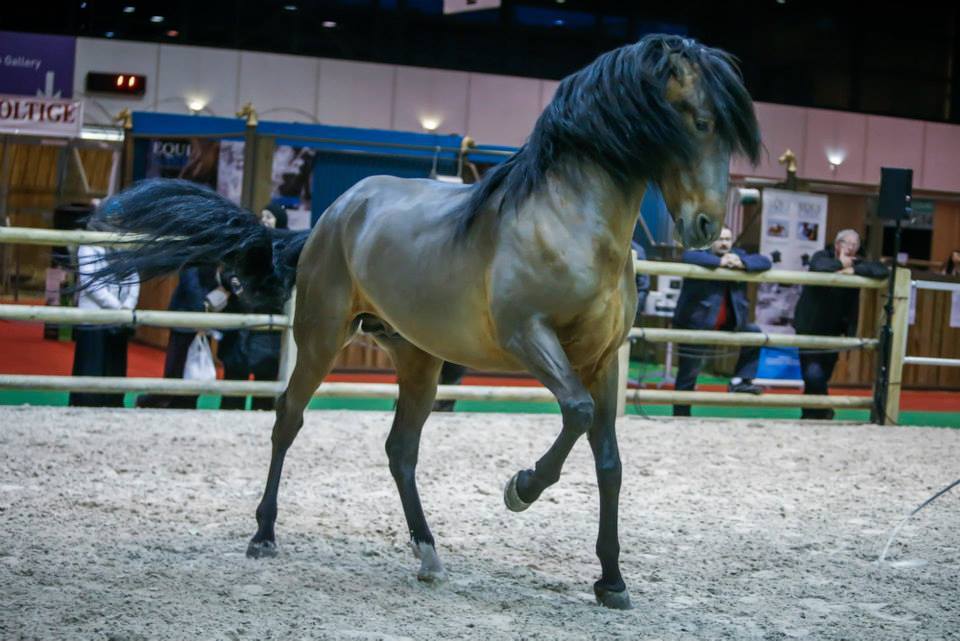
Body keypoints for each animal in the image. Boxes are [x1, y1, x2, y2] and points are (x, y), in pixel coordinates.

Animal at [88, 34, 760, 609]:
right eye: (700, 121)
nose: (705, 227)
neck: (570, 223)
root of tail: (335, 213)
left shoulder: (599, 361)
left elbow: (610, 462)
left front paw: (612, 582)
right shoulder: (530, 338)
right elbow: (575, 414)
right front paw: (520, 489)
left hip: (418, 356)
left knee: (400, 449)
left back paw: (428, 555)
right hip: (321, 339)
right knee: (287, 421)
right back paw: (264, 536)